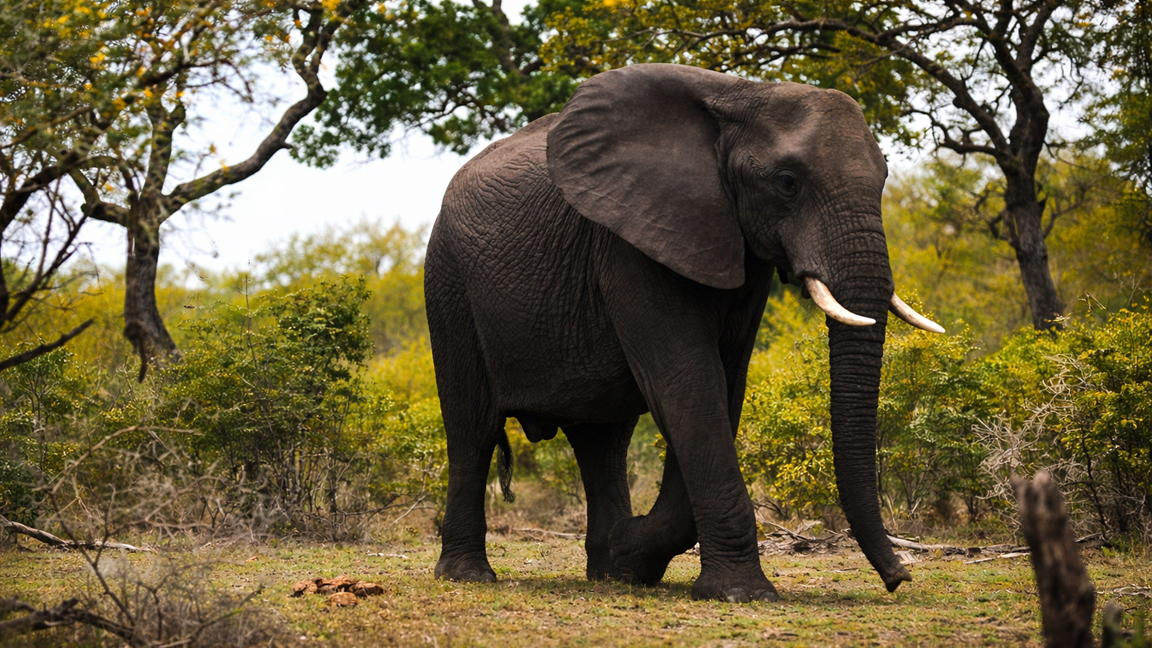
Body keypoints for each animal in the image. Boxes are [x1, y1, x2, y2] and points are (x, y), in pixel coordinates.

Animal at [425, 63, 944, 602]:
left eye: (884, 180)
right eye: (787, 183)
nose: (899, 577)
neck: (743, 96)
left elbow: (722, 385)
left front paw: (629, 556)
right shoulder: (629, 242)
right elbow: (688, 382)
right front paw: (739, 593)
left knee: (601, 441)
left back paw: (608, 570)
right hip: (448, 279)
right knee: (473, 429)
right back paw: (468, 575)